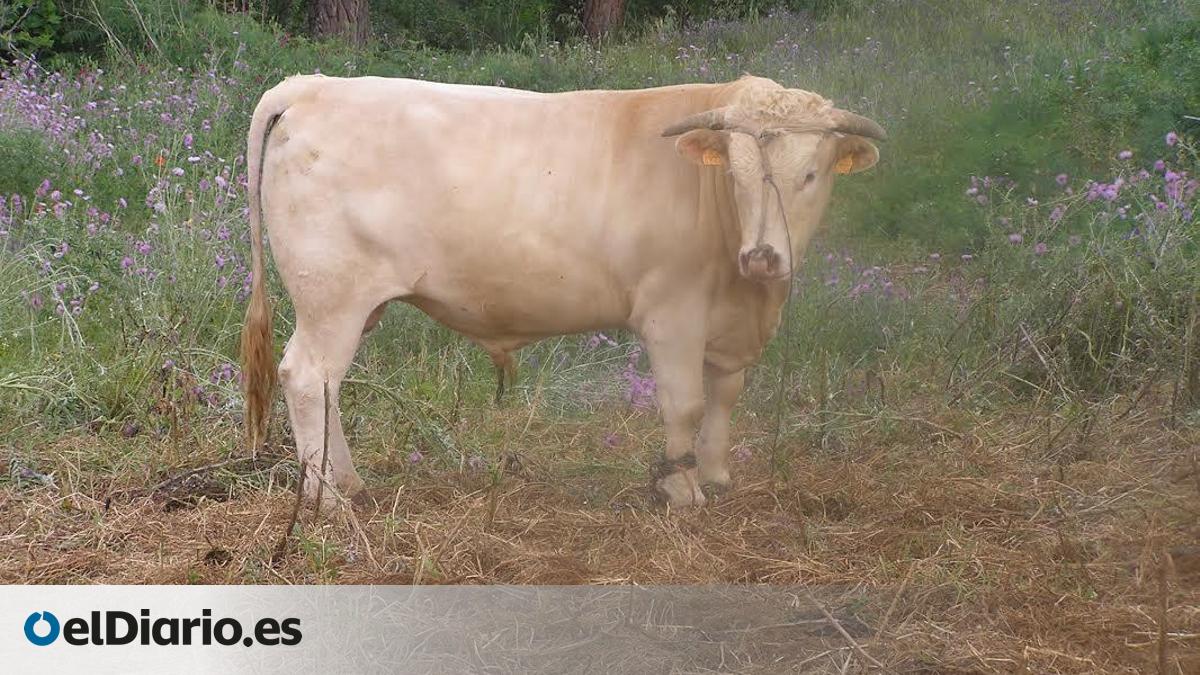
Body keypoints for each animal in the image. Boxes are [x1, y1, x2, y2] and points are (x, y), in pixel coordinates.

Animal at [240, 74, 884, 508]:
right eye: (738, 173)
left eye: (810, 174)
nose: (763, 256)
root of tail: (314, 85)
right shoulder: (672, 314)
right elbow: (685, 402)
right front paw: (682, 490)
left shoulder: (730, 327)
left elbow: (724, 396)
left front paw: (716, 475)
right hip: (332, 296)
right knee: (307, 376)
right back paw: (327, 499)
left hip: (354, 304)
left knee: (328, 385)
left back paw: (348, 481)